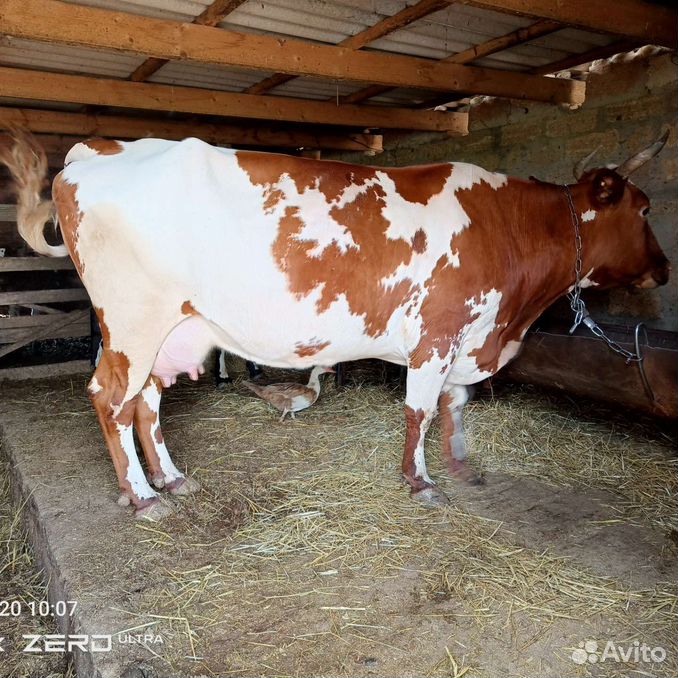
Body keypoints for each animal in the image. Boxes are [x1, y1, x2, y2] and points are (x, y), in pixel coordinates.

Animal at [0, 131, 669, 519]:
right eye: (643, 209)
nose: (663, 269)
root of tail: (97, 151)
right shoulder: (437, 333)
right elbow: (421, 410)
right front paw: (419, 481)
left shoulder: (468, 337)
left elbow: (455, 406)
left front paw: (459, 466)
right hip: (133, 323)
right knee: (111, 398)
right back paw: (141, 497)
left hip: (172, 330)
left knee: (147, 403)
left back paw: (170, 479)